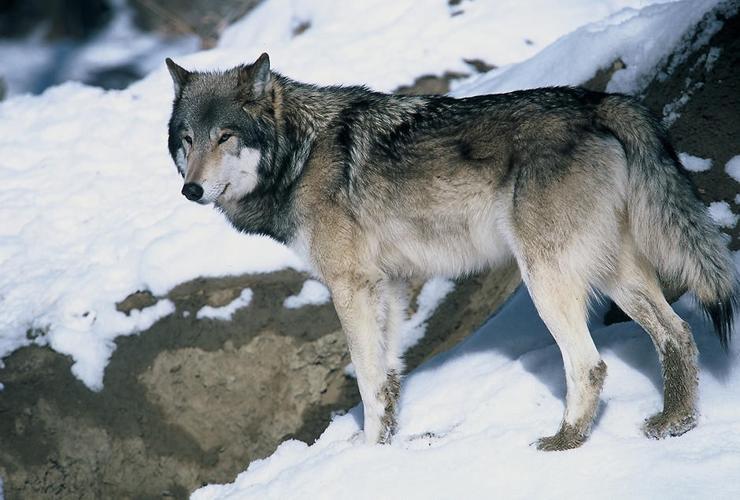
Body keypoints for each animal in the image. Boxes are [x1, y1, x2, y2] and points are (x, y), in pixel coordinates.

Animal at [165, 53, 736, 451]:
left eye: (225, 136)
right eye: (187, 139)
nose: (190, 190)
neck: (299, 157)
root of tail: (601, 100)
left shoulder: (351, 286)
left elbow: (367, 378)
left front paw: (367, 452)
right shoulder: (389, 286)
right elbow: (388, 379)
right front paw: (384, 448)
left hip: (545, 276)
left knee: (591, 364)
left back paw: (563, 443)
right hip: (611, 271)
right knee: (677, 333)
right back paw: (676, 424)